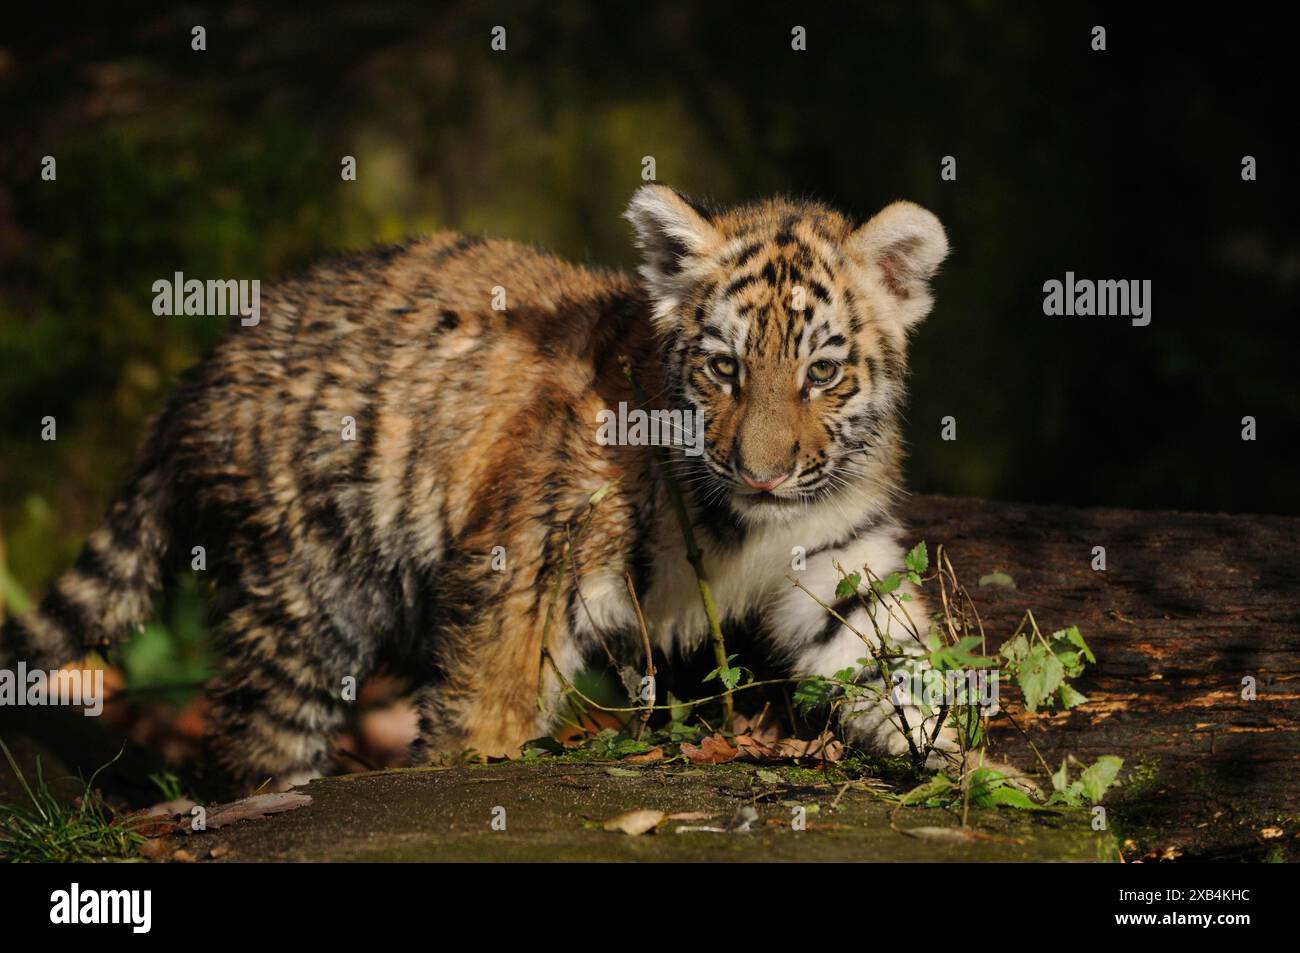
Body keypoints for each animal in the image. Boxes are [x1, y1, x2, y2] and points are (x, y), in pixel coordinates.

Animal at [0, 185, 953, 792]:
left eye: (822, 372)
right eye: (724, 368)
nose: (762, 470)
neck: (747, 519)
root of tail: (202, 370)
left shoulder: (836, 554)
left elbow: (901, 662)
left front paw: (964, 762)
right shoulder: (522, 565)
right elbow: (489, 707)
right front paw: (470, 767)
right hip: (302, 596)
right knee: (256, 736)